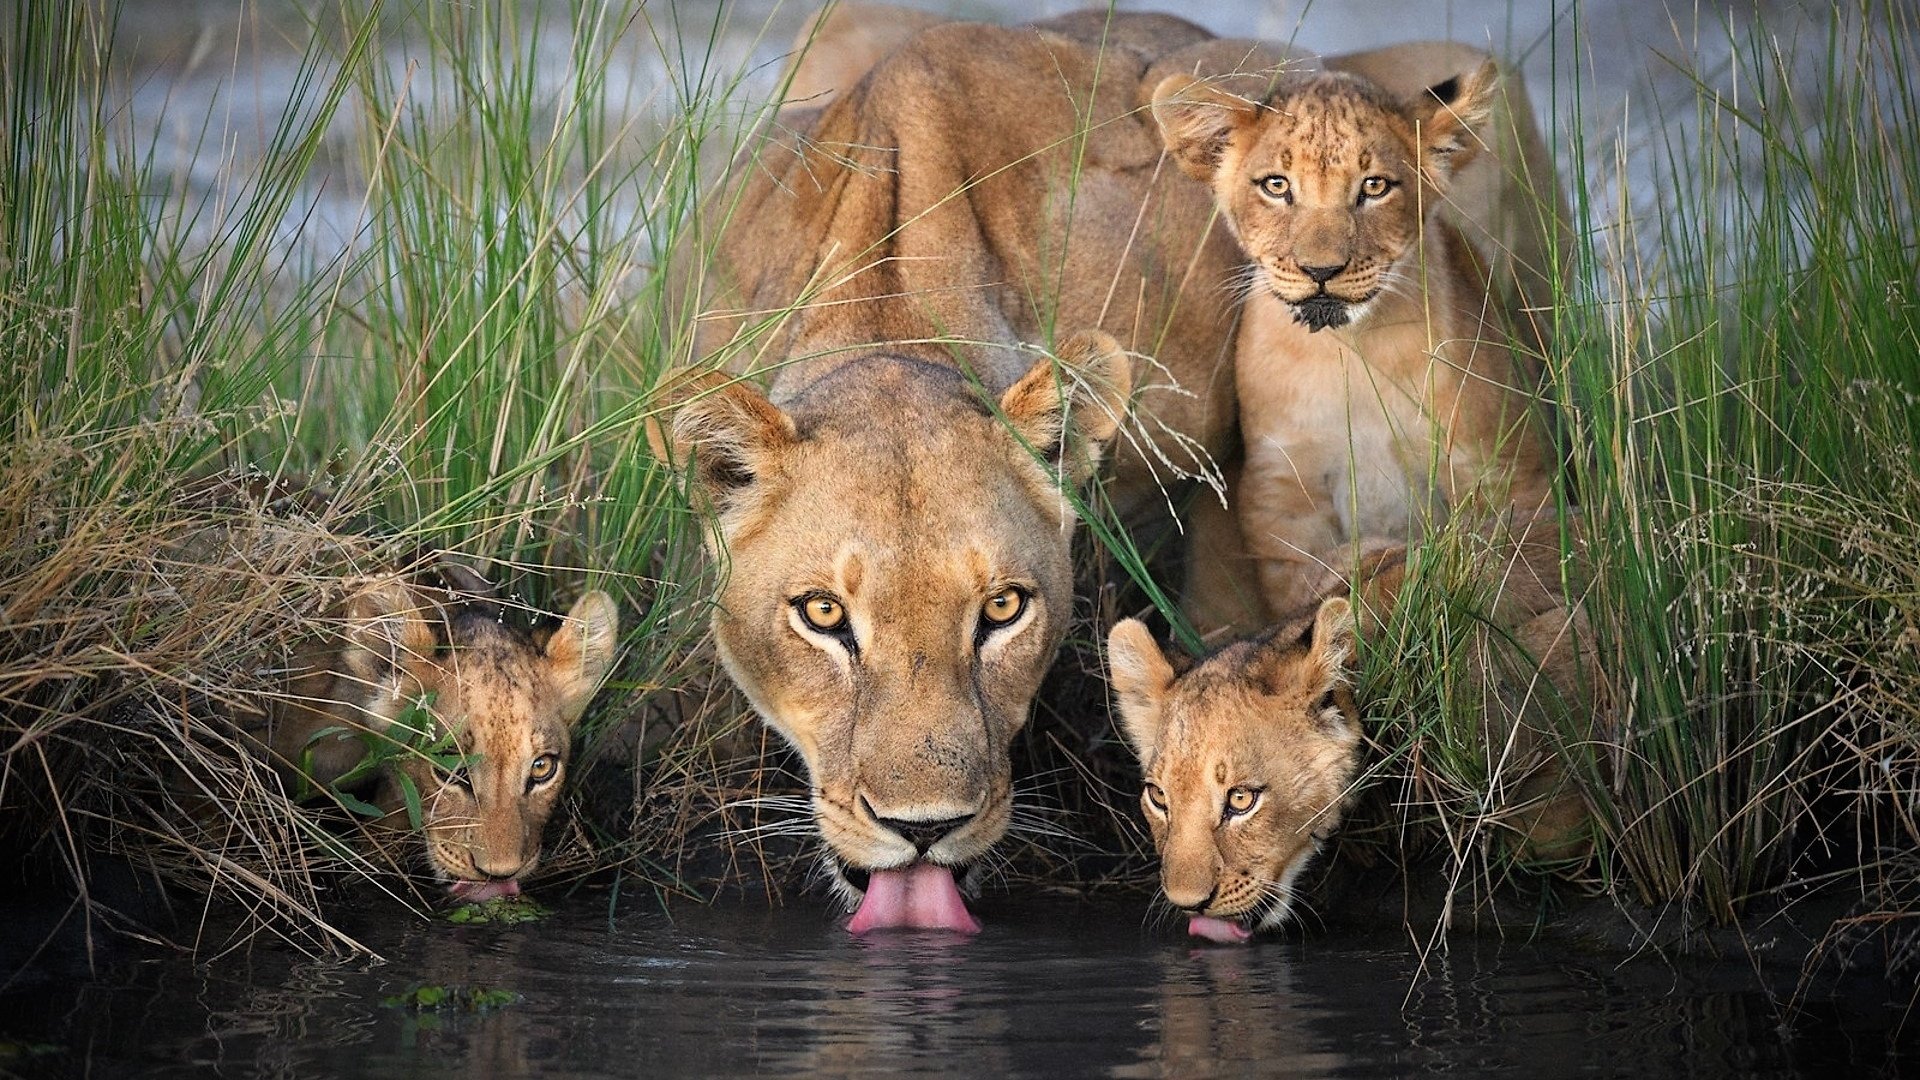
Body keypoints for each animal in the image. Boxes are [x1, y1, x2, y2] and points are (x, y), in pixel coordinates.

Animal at [1152, 60, 1560, 623]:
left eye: (1374, 186)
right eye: (1276, 186)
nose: (1321, 271)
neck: (1351, 353)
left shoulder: (1501, 468)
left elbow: (1508, 559)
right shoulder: (1281, 487)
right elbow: (1305, 581)